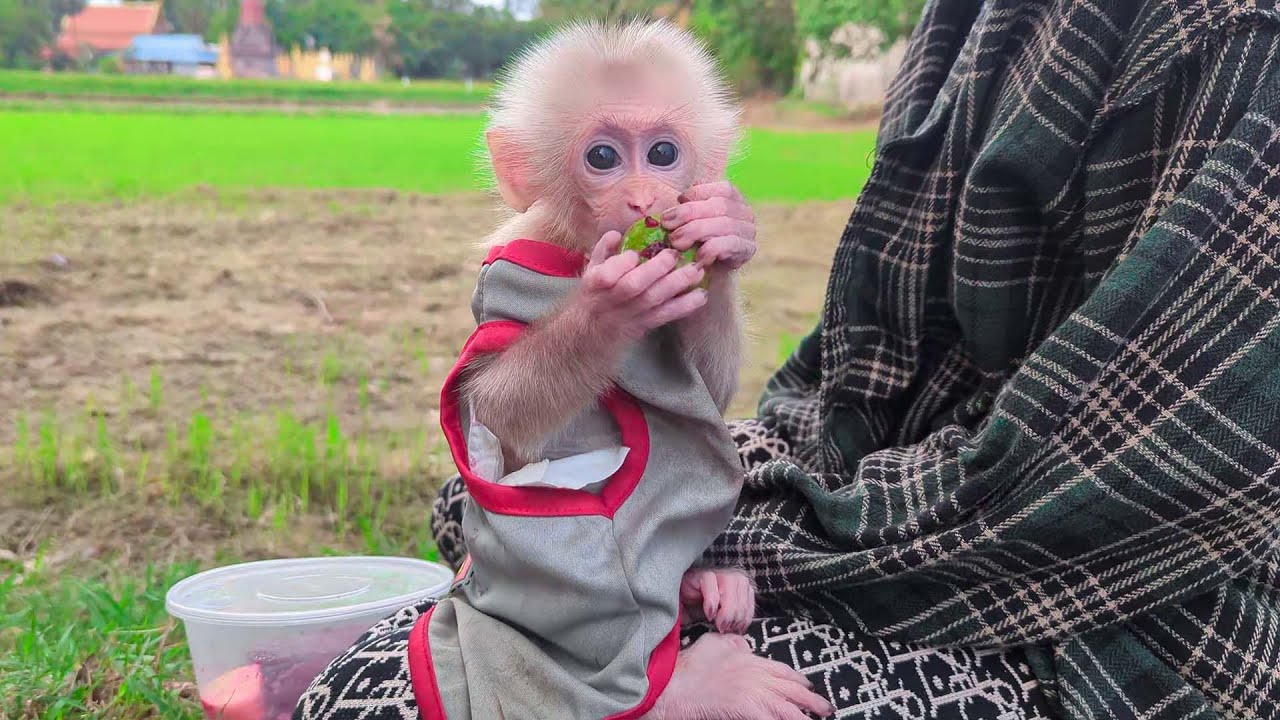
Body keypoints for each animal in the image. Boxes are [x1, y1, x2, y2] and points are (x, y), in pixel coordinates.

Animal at [408, 19, 835, 720]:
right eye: (603, 159)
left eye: (662, 153)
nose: (643, 200)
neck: (575, 249)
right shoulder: (506, 283)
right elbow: (496, 412)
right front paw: (608, 309)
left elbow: (709, 388)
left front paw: (725, 233)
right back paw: (690, 683)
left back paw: (703, 586)